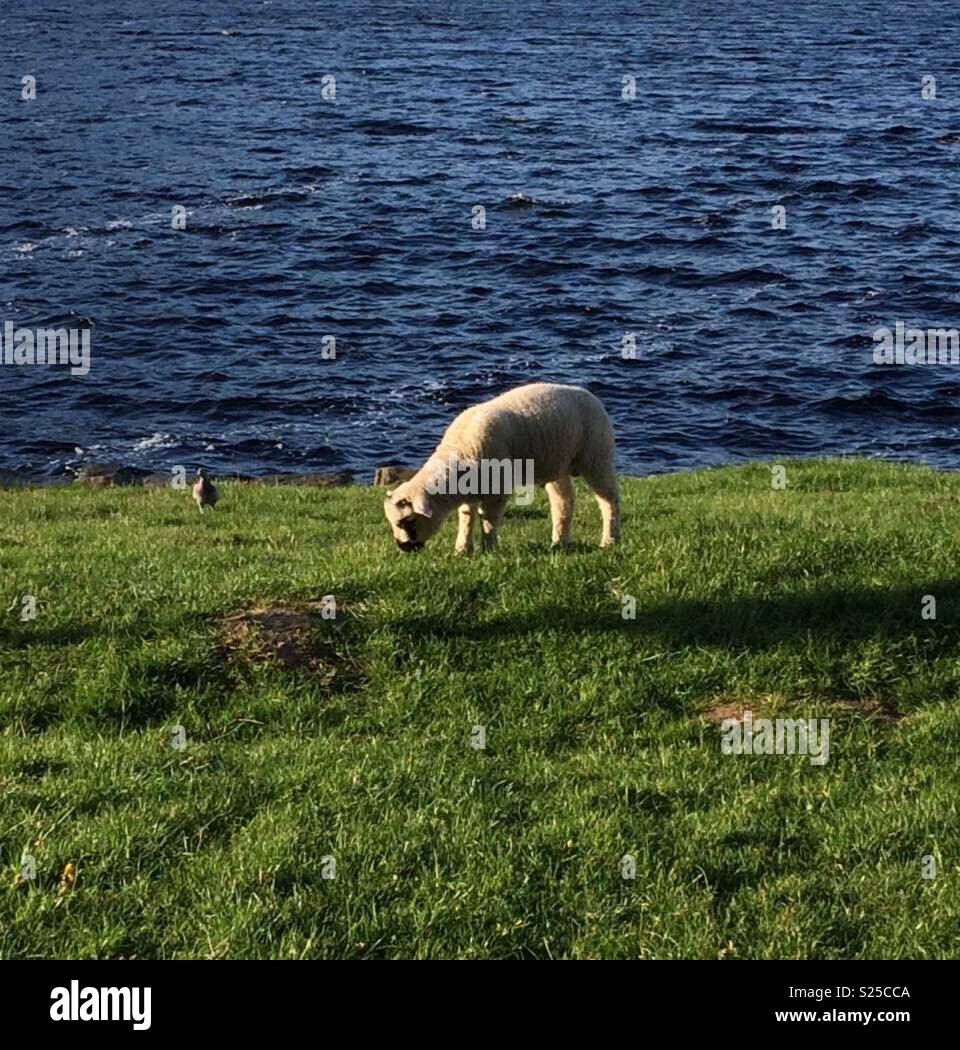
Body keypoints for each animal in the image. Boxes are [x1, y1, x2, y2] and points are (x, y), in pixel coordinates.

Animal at [383, 382, 620, 553]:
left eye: (408, 521)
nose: (403, 547)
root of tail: (590, 395)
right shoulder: (471, 487)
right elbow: (466, 515)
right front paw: (462, 549)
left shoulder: (497, 488)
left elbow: (488, 518)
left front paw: (489, 549)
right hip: (556, 463)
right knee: (564, 501)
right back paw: (560, 542)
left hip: (596, 455)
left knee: (609, 498)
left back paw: (610, 540)